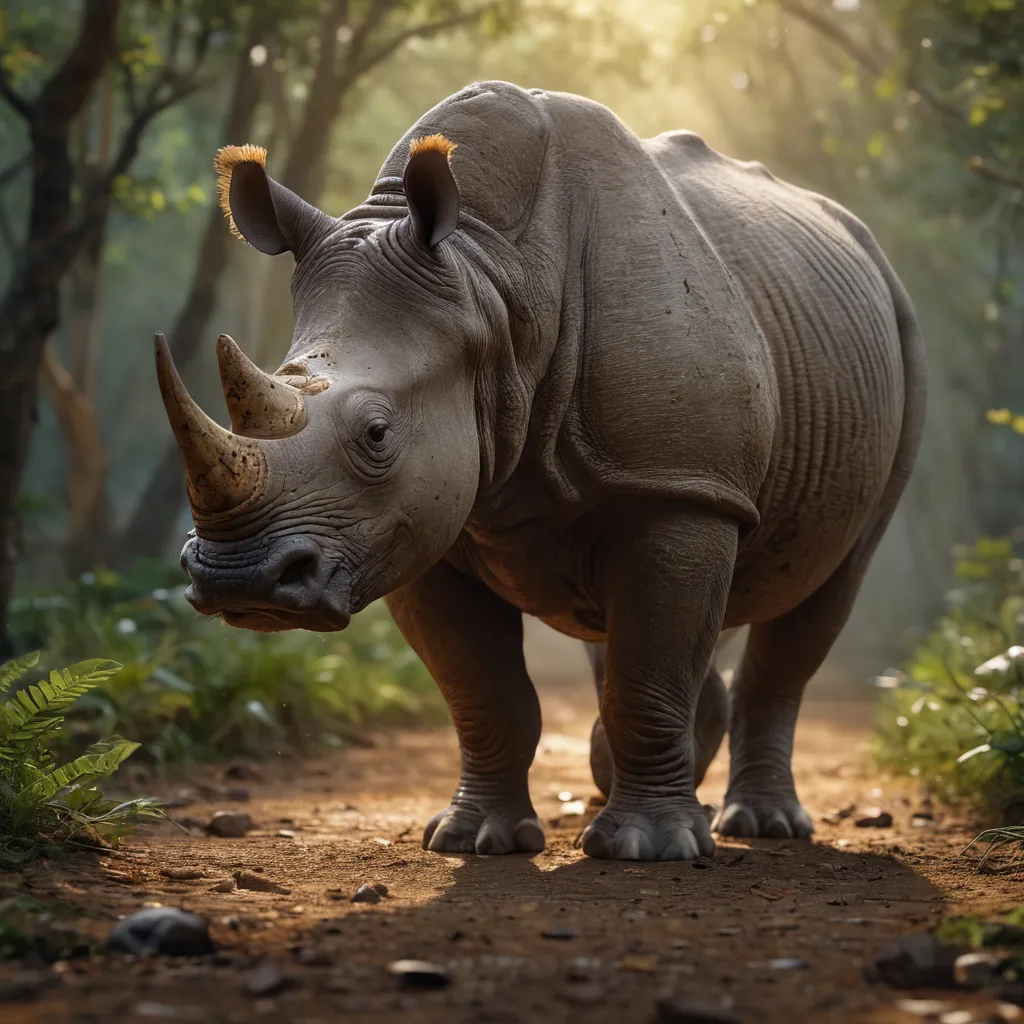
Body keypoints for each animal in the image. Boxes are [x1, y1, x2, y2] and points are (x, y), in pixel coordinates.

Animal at [157, 81, 926, 862]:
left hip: (900, 335)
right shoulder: (414, 522)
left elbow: (647, 673)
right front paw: (476, 839)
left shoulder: (679, 488)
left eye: (376, 434)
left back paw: (760, 825)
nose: (242, 580)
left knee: (820, 597)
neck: (491, 282)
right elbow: (485, 689)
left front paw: (648, 848)